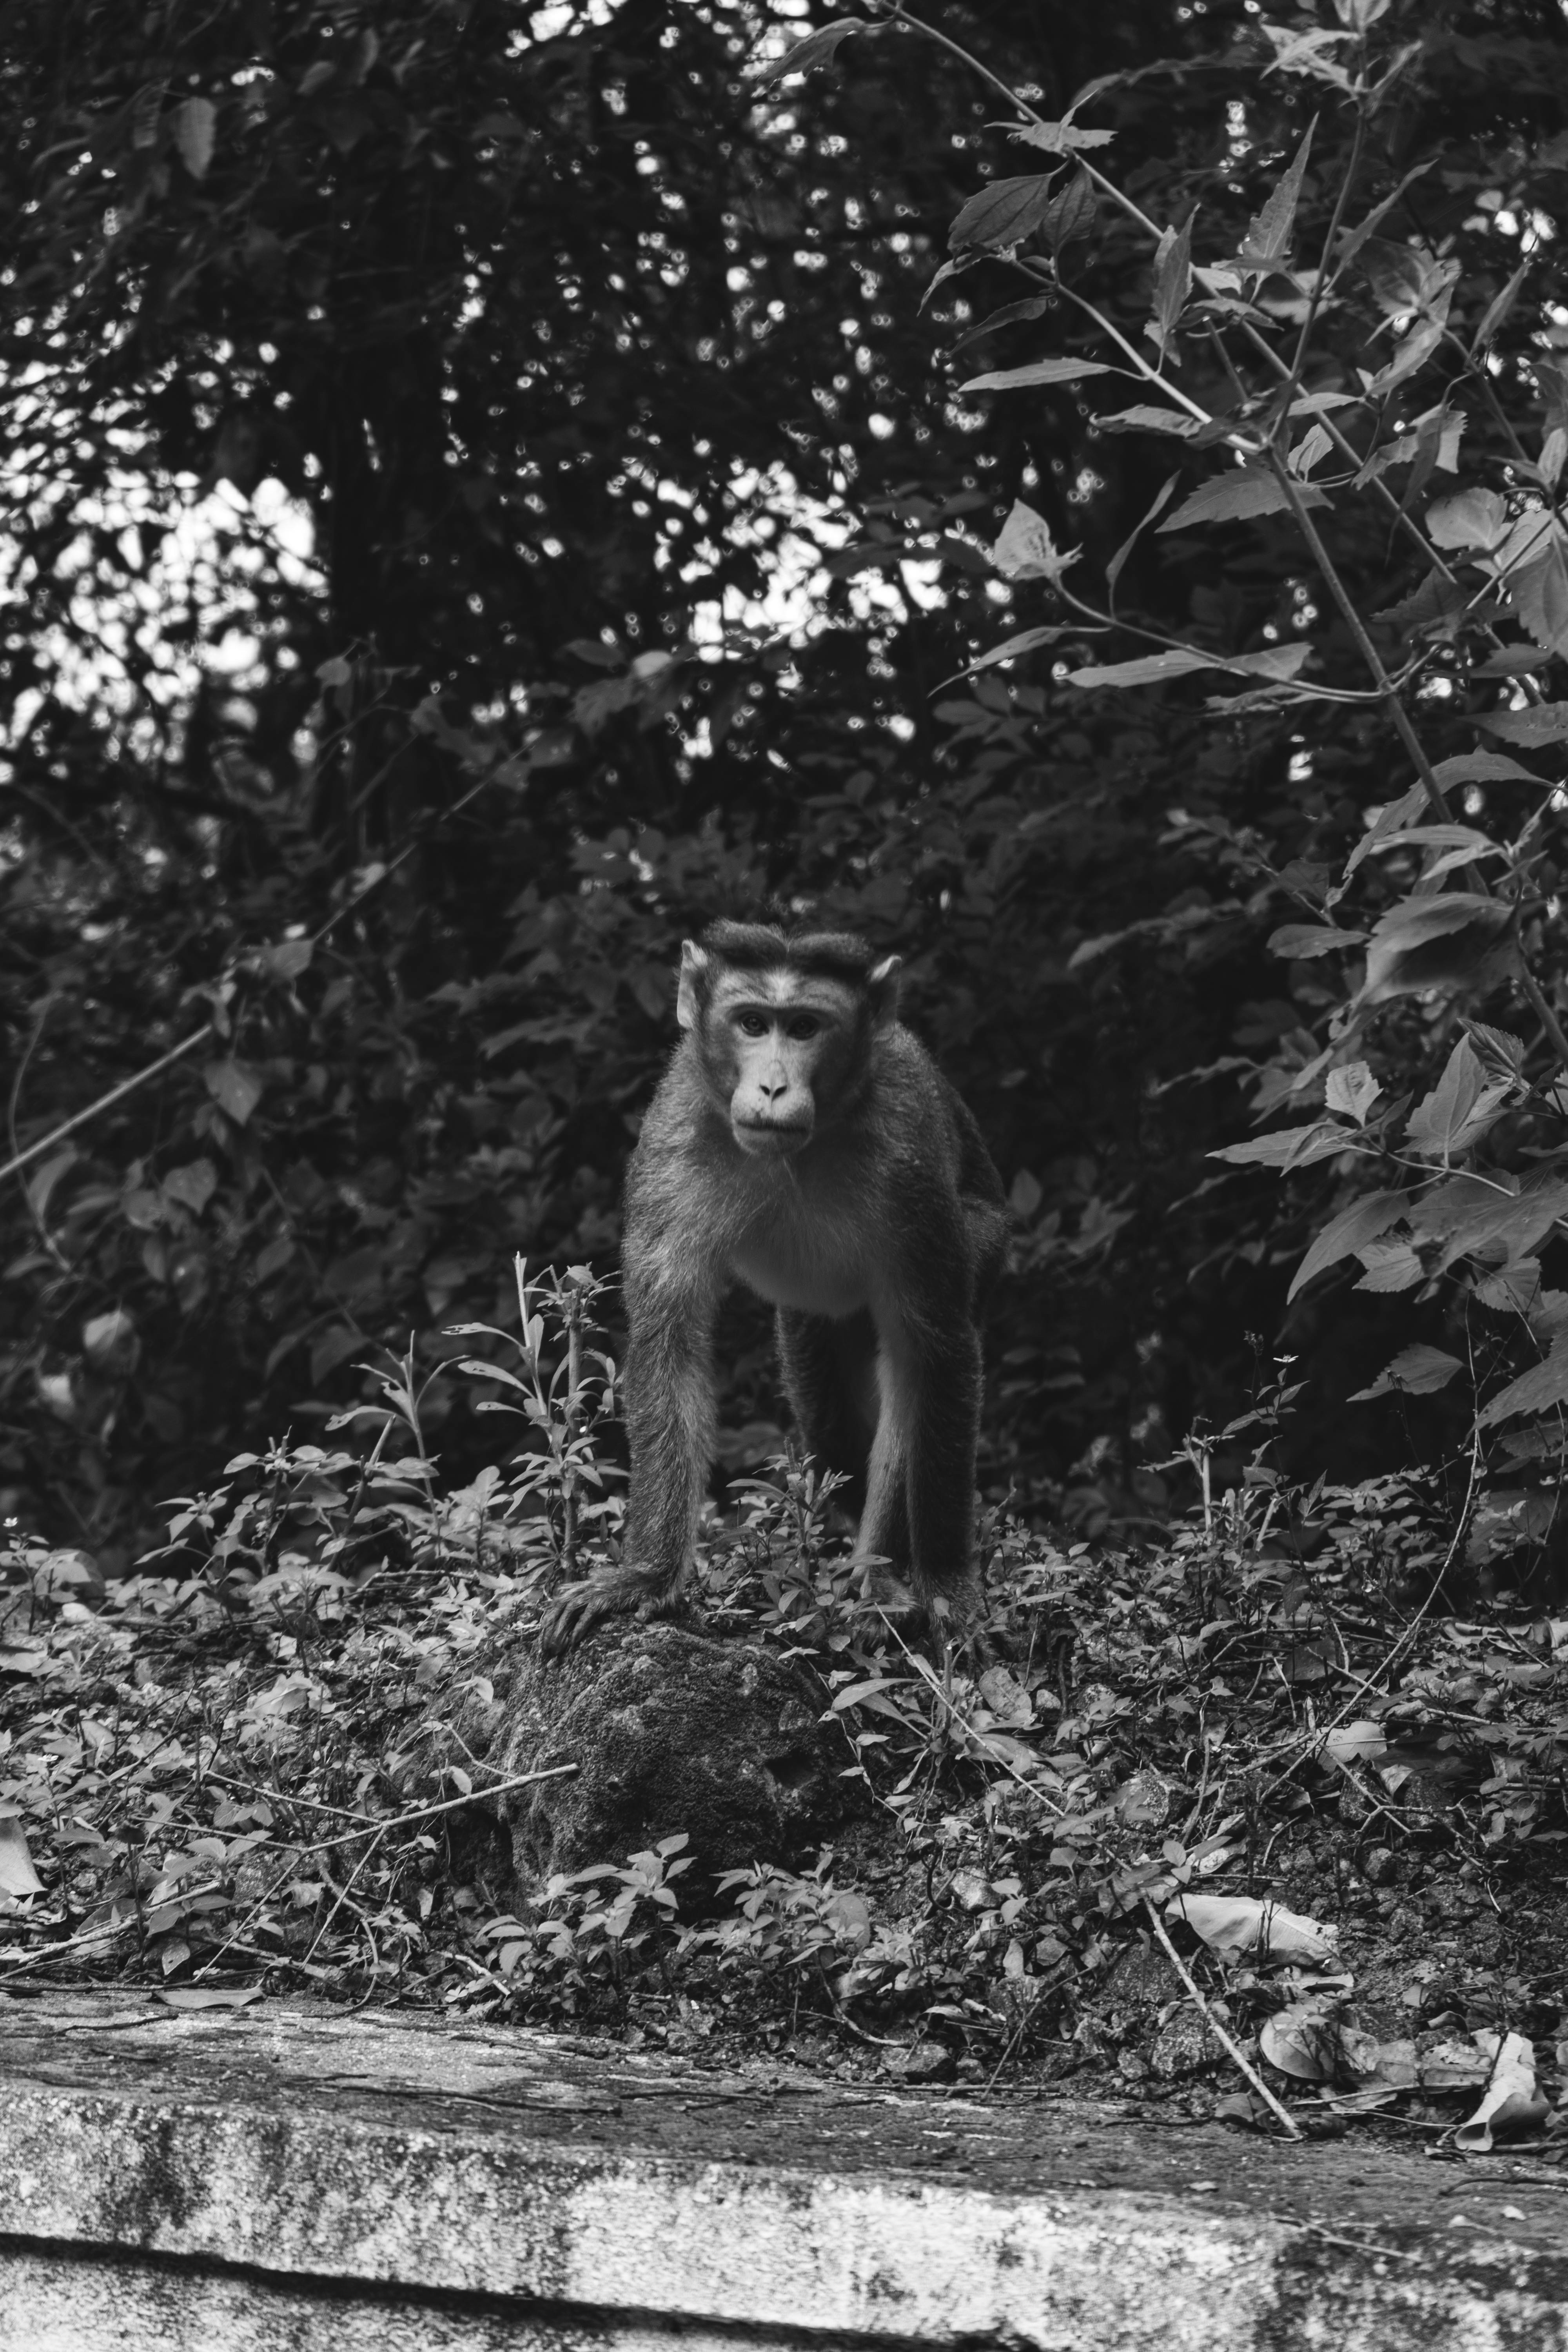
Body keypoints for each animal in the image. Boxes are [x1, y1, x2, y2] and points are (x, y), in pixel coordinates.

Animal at [537, 919, 1010, 1658]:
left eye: (806, 1027)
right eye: (753, 1024)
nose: (773, 1086)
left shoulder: (907, 1163)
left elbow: (937, 1348)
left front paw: (946, 1588)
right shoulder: (673, 1142)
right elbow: (669, 1344)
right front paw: (644, 1578)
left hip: (985, 1241)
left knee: (909, 1369)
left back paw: (876, 1582)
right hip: (811, 1322)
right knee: (828, 1408)